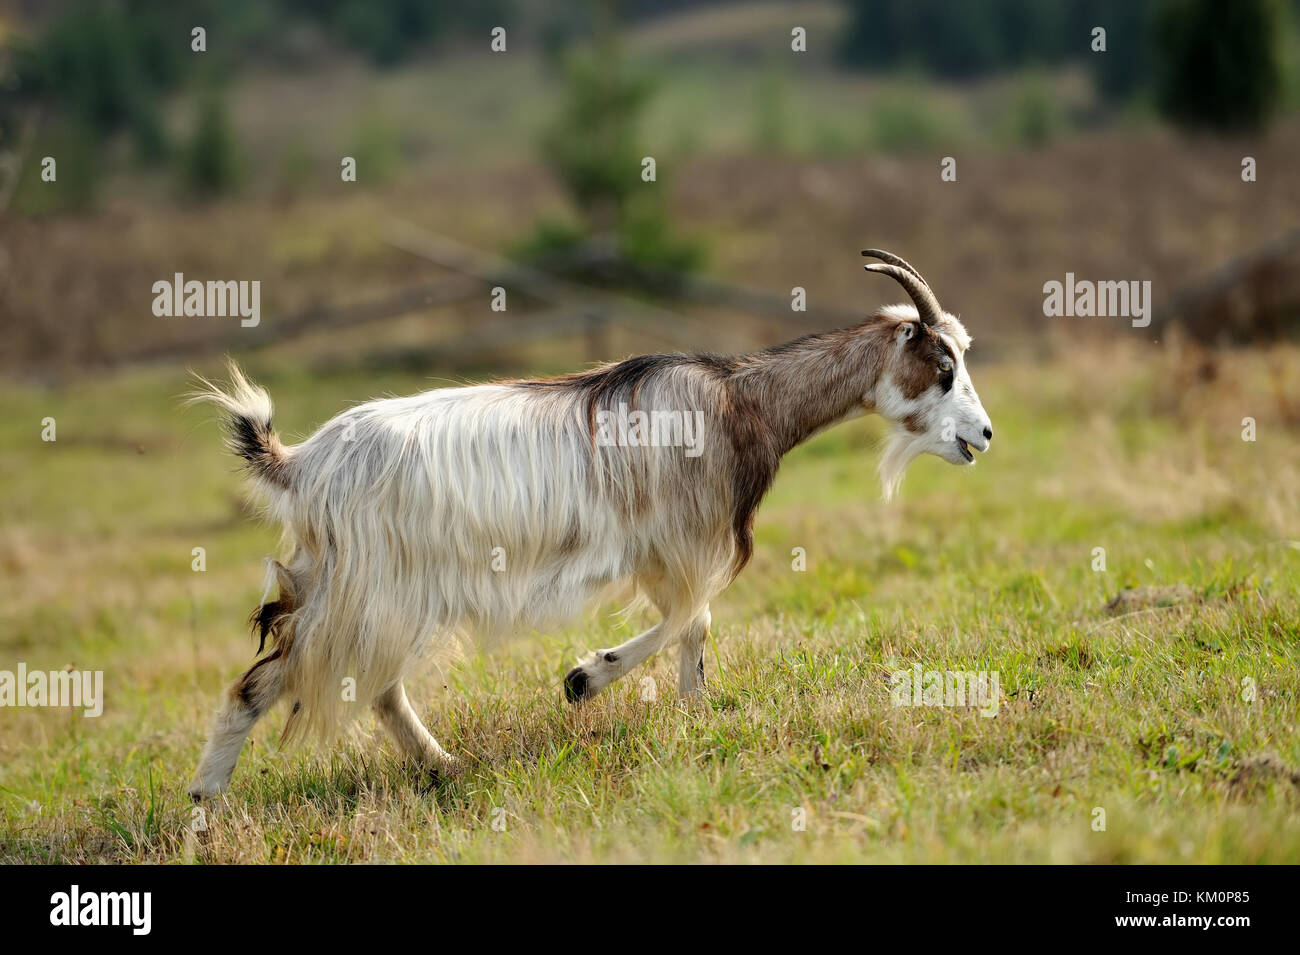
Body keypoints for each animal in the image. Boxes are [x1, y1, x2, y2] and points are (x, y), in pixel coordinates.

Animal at [186, 249, 993, 799]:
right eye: (943, 365)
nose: (982, 435)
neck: (740, 402)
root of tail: (302, 464)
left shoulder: (667, 549)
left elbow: (695, 625)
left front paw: (693, 710)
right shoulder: (677, 539)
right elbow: (690, 617)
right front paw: (585, 678)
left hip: (376, 595)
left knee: (375, 689)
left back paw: (446, 767)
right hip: (365, 594)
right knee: (262, 685)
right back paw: (203, 804)